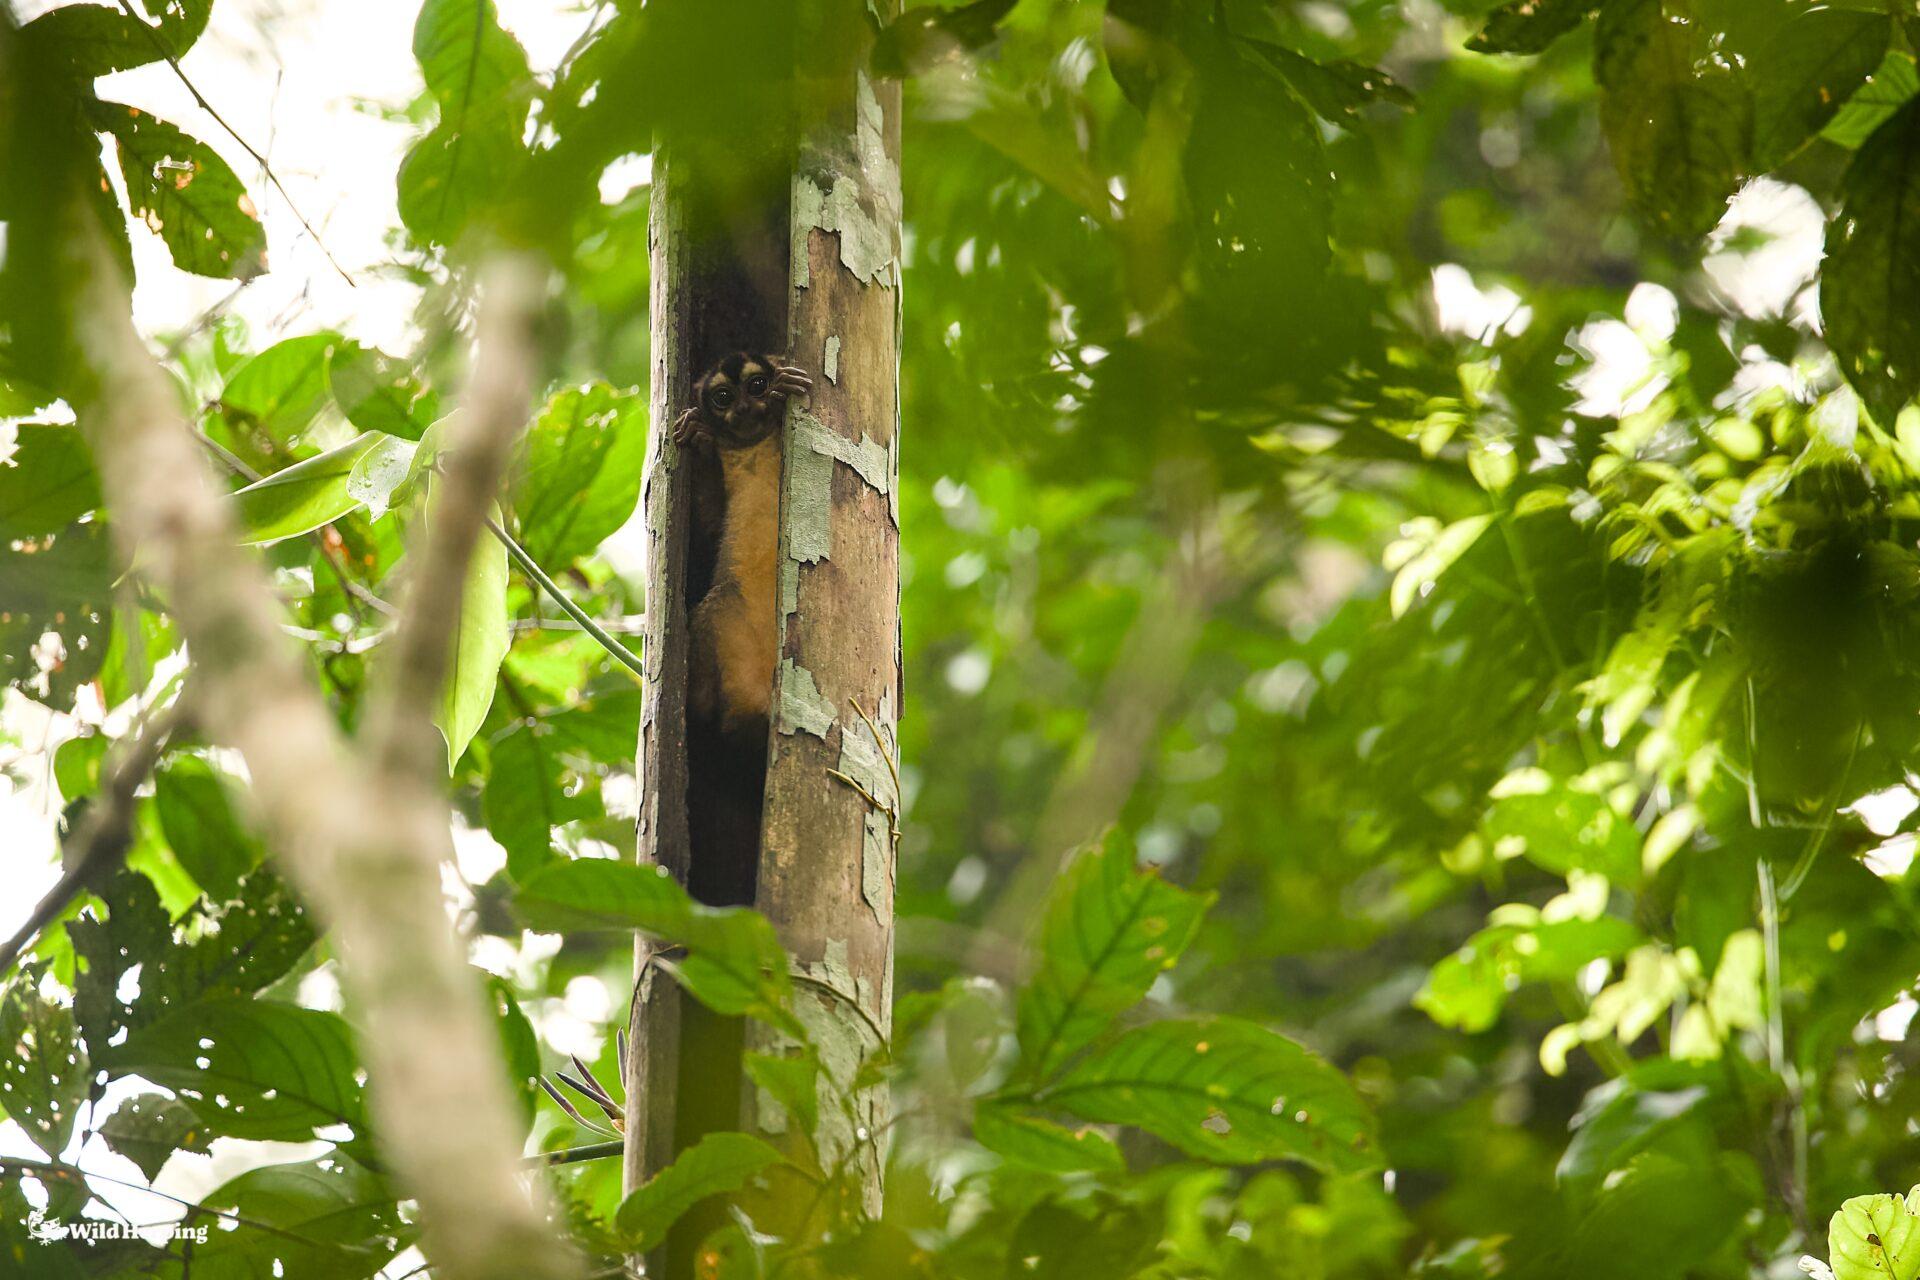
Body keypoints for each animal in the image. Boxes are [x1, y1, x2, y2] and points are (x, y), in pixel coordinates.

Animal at [672, 352, 811, 907]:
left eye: (755, 384)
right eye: (723, 397)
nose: (746, 408)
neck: (751, 448)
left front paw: (787, 387)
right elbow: (709, 529)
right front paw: (698, 438)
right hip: (724, 628)